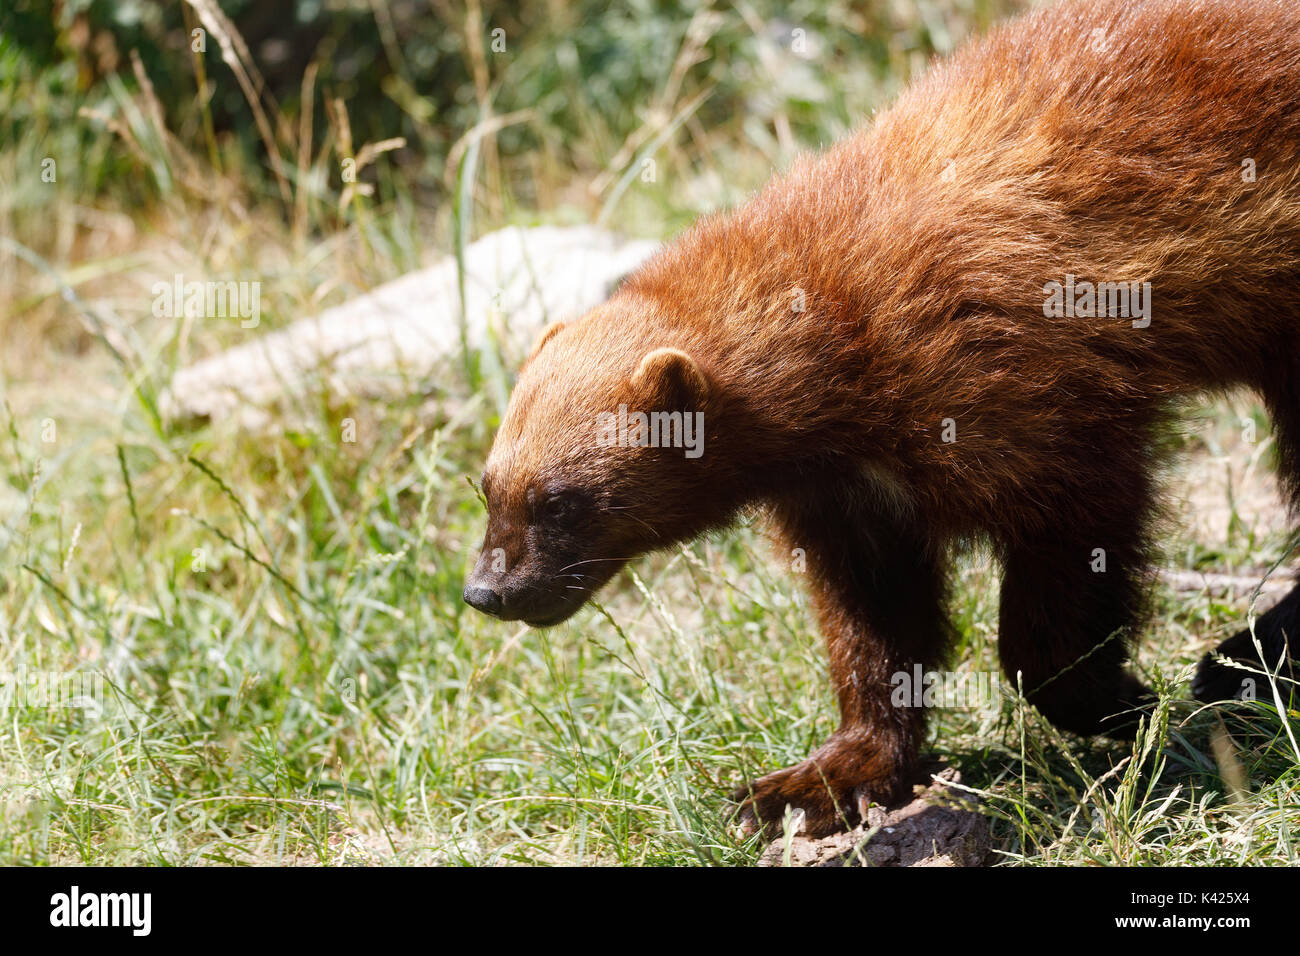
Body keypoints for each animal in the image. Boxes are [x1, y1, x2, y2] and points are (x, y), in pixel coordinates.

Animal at [463, 0, 1300, 838]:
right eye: (486, 485)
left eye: (561, 500)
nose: (487, 592)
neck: (846, 310)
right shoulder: (850, 507)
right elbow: (876, 636)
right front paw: (823, 778)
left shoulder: (1045, 426)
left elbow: (1049, 617)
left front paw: (1119, 702)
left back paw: (1253, 652)